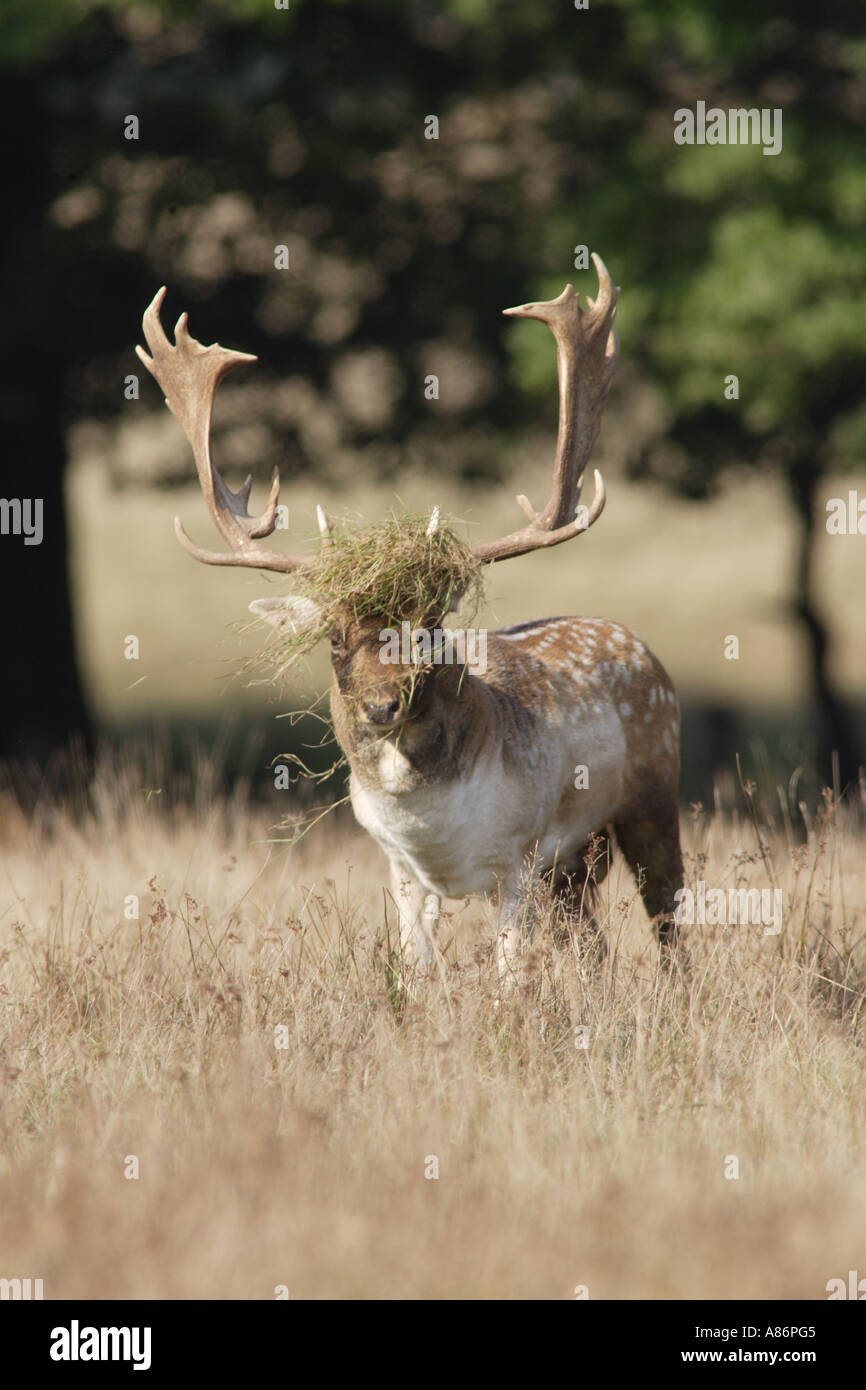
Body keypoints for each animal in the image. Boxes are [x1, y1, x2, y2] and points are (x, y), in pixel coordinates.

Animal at [136, 255, 684, 979]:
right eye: (333, 638)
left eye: (426, 630)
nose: (381, 706)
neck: (430, 827)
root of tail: (636, 642)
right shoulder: (401, 869)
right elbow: (417, 971)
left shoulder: (521, 856)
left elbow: (512, 978)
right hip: (577, 863)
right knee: (593, 940)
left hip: (651, 793)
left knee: (670, 922)